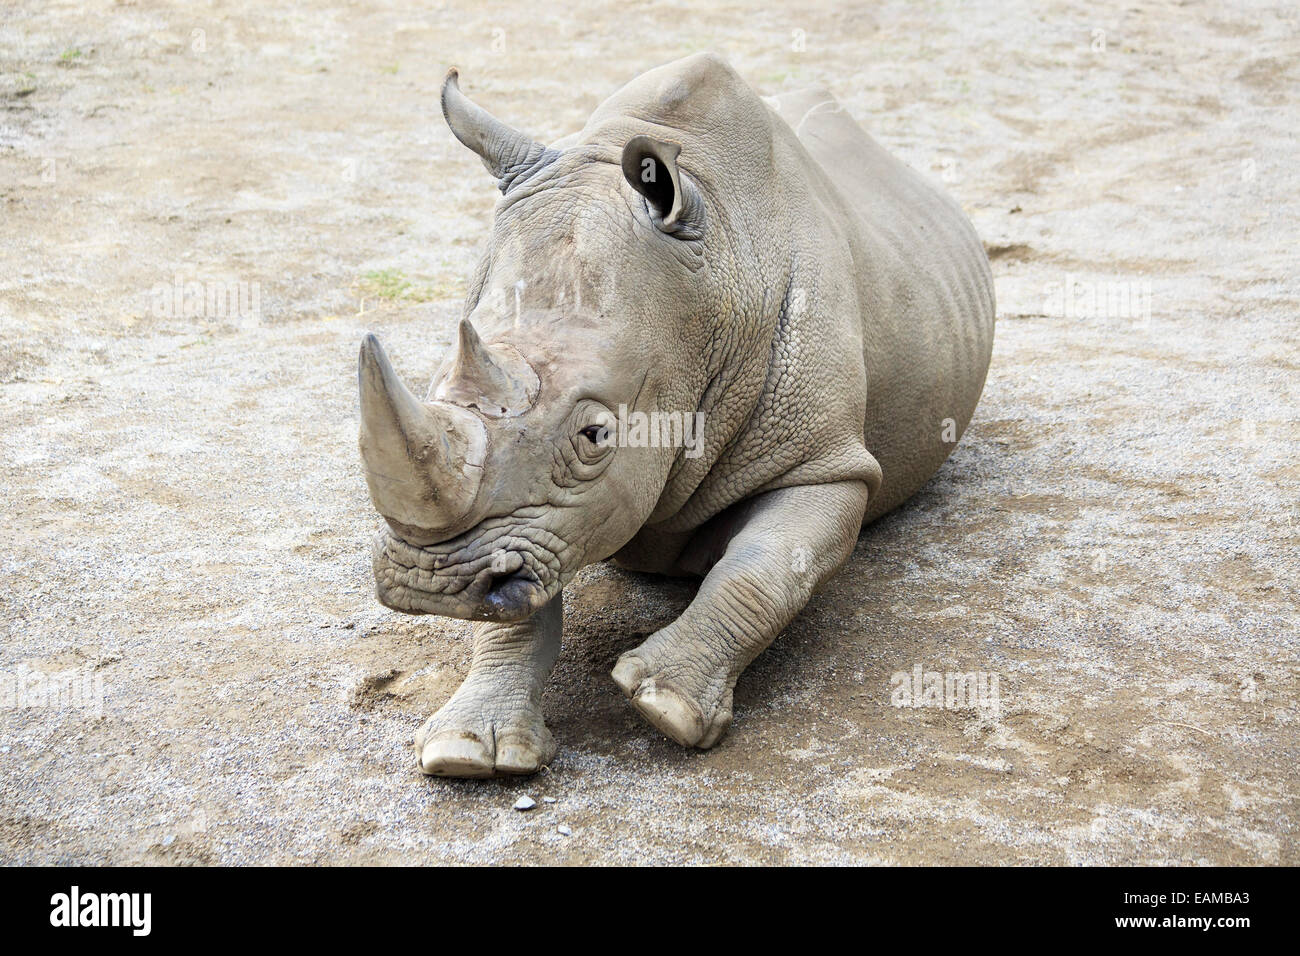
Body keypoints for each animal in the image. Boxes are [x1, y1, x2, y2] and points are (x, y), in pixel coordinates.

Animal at [357, 53, 995, 777]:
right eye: (437, 386)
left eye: (595, 436)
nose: (430, 584)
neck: (710, 289)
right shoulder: (530, 515)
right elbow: (521, 587)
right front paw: (466, 750)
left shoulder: (824, 462)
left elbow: (765, 568)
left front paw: (666, 705)